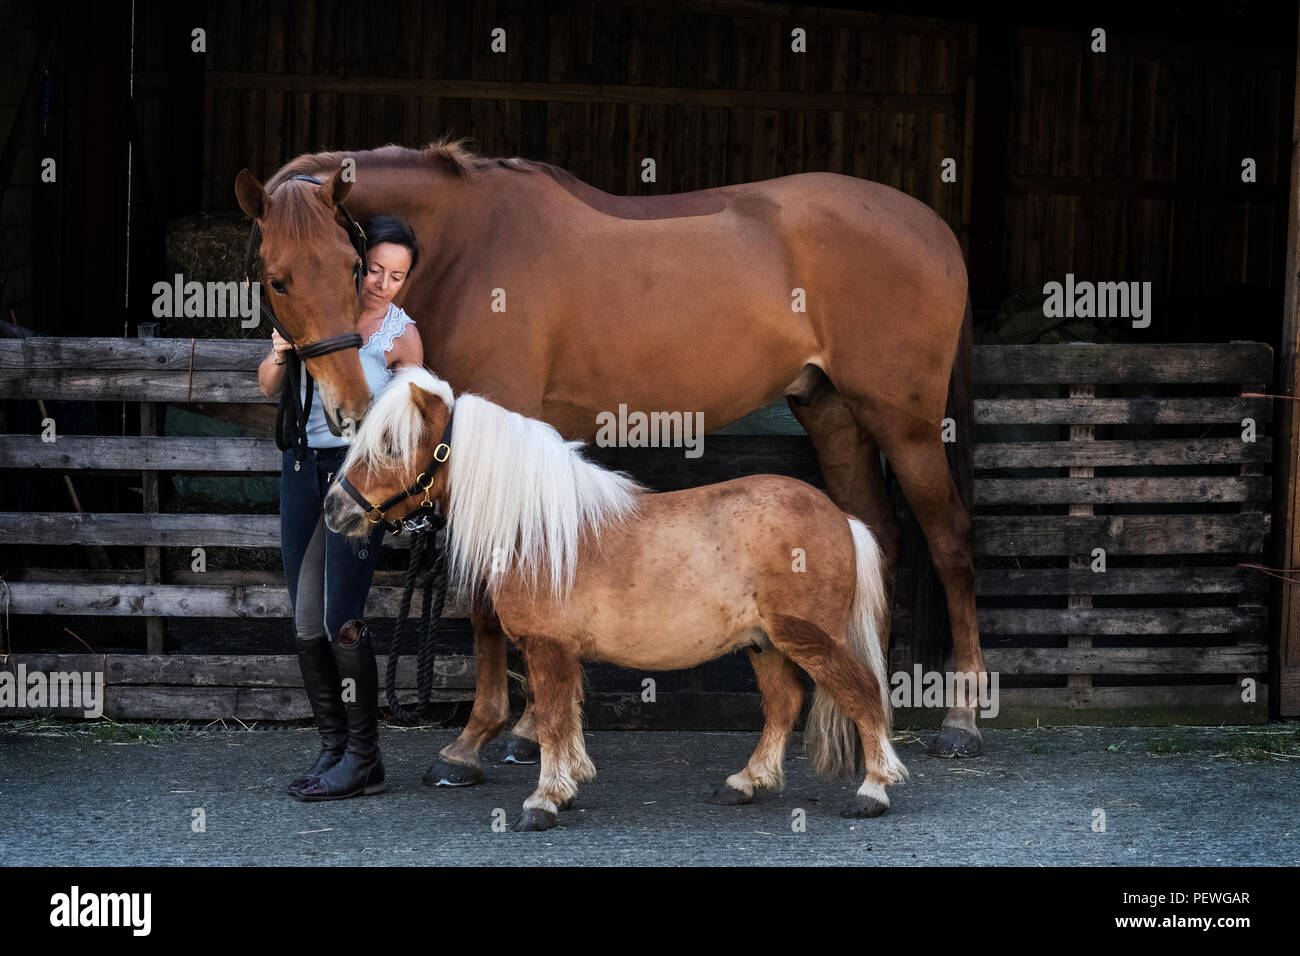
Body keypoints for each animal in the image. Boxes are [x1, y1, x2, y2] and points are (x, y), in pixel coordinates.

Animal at [323, 366, 908, 831]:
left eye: (392, 446)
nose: (334, 509)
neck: (539, 527)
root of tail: (842, 518)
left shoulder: (548, 647)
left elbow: (552, 721)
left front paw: (543, 801)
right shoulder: (559, 653)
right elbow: (565, 720)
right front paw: (565, 787)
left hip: (810, 639)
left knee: (864, 693)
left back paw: (873, 791)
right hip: (763, 642)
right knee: (784, 704)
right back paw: (745, 782)